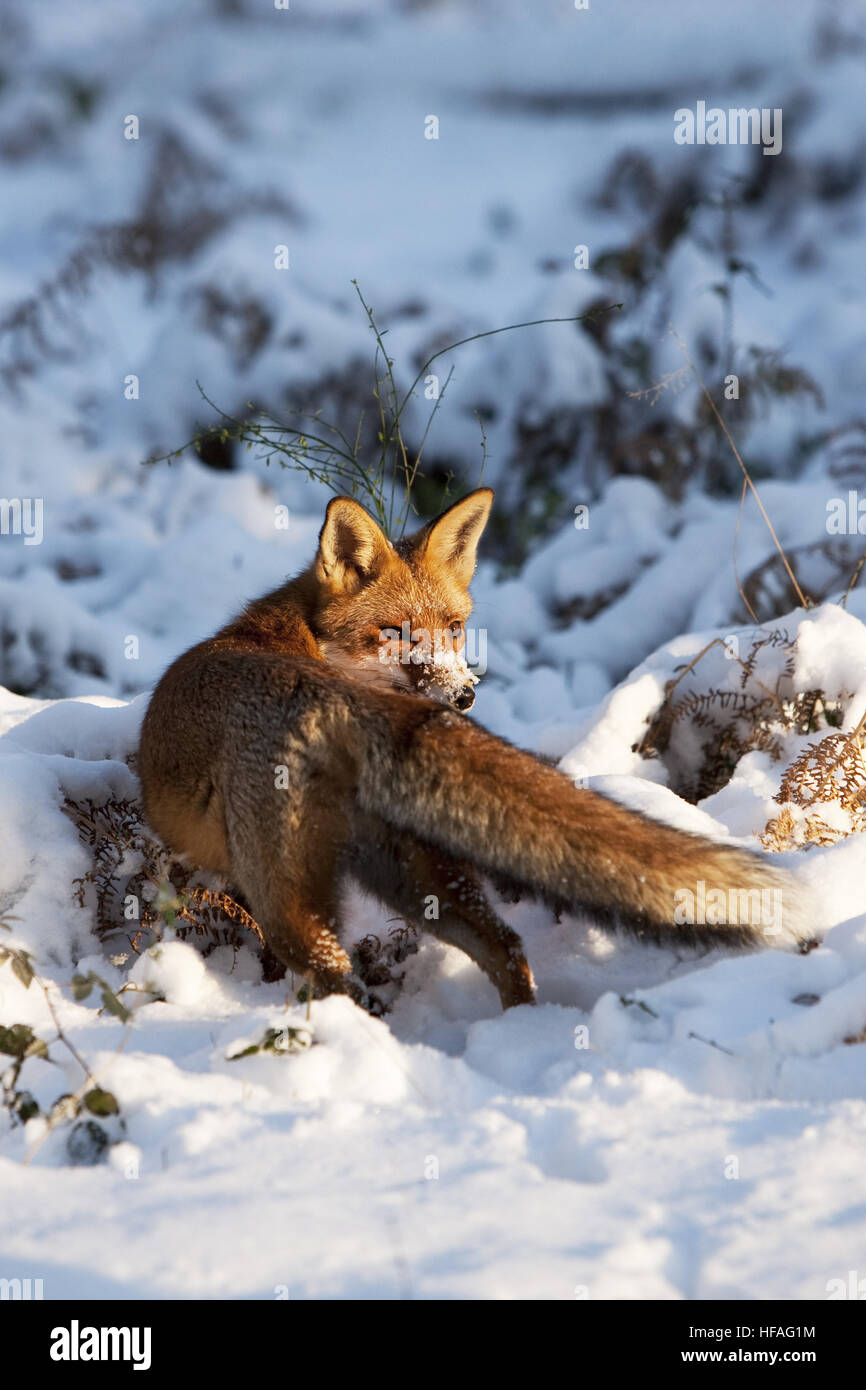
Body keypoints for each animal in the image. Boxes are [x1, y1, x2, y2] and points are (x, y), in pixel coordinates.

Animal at [138, 487, 815, 1010]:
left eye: (455, 628)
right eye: (394, 632)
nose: (463, 696)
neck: (297, 640)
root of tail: (334, 700)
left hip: (290, 899)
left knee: (343, 984)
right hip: (417, 874)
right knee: (507, 946)